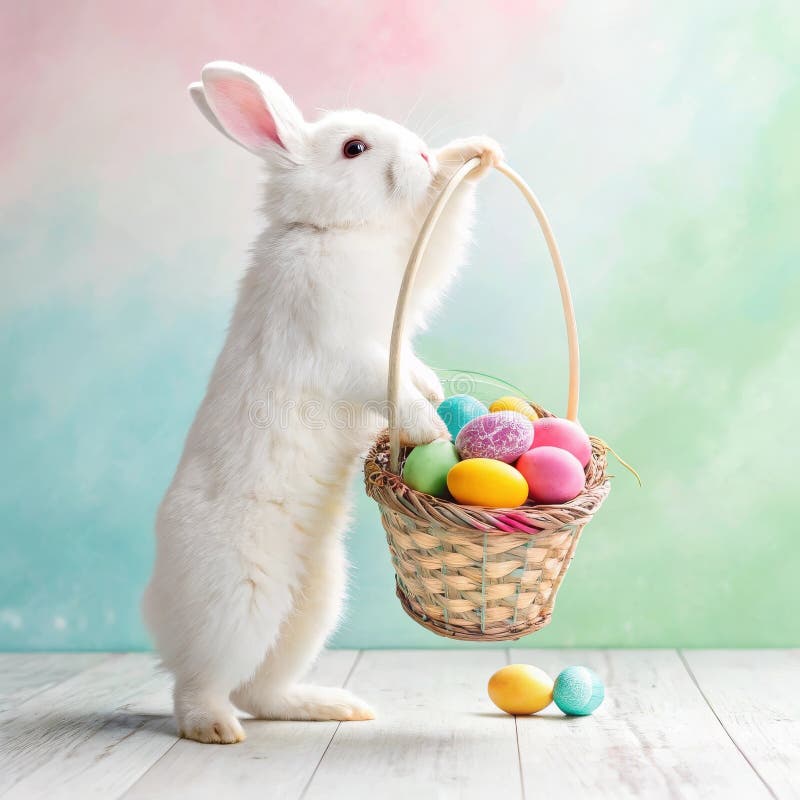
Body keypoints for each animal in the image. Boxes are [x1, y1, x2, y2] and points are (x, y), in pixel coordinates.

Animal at [142, 60, 503, 744]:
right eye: (353, 149)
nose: (421, 152)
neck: (335, 232)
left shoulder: (401, 307)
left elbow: (415, 347)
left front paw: (473, 154)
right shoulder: (344, 354)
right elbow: (388, 388)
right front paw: (429, 428)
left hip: (315, 603)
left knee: (262, 689)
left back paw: (333, 706)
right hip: (239, 604)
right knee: (199, 682)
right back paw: (215, 729)